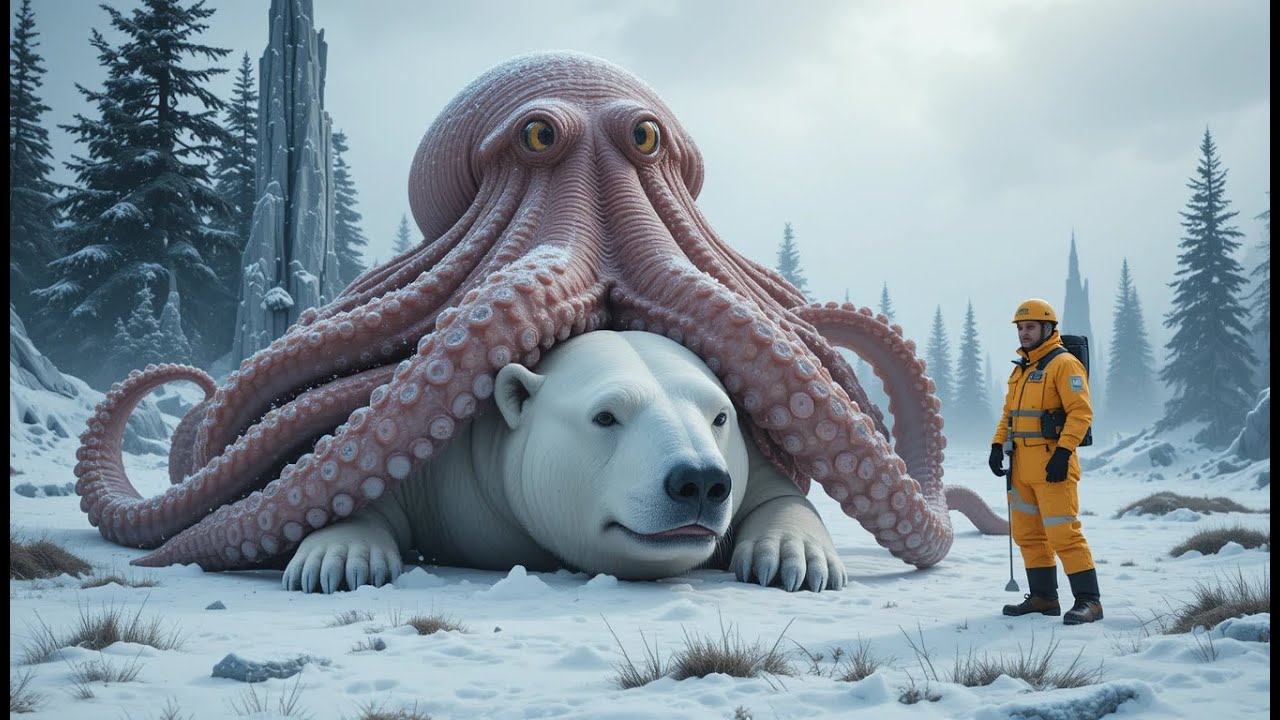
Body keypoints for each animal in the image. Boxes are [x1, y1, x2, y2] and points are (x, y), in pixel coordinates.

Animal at [282, 331, 846, 594]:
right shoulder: (429, 450)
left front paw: (794, 558)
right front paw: (336, 560)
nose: (700, 481)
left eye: (720, 415)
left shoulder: (745, 454)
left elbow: (775, 491)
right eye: (606, 416)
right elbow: (362, 481)